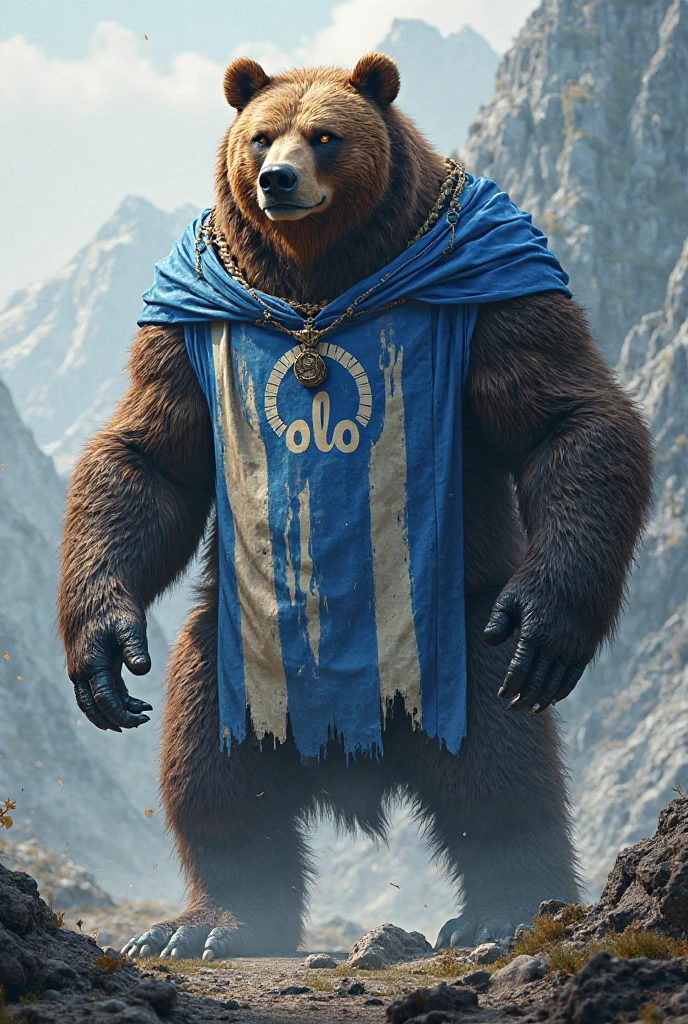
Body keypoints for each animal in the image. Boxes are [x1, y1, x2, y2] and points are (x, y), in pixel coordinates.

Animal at [58, 53, 653, 959]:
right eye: (261, 135)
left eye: (325, 136)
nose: (276, 179)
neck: (317, 283)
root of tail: (353, 755)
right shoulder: (191, 319)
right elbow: (150, 457)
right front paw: (103, 651)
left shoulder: (494, 288)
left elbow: (565, 417)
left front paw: (553, 620)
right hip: (234, 649)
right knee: (209, 764)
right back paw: (211, 922)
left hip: (458, 636)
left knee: (504, 768)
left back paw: (506, 906)